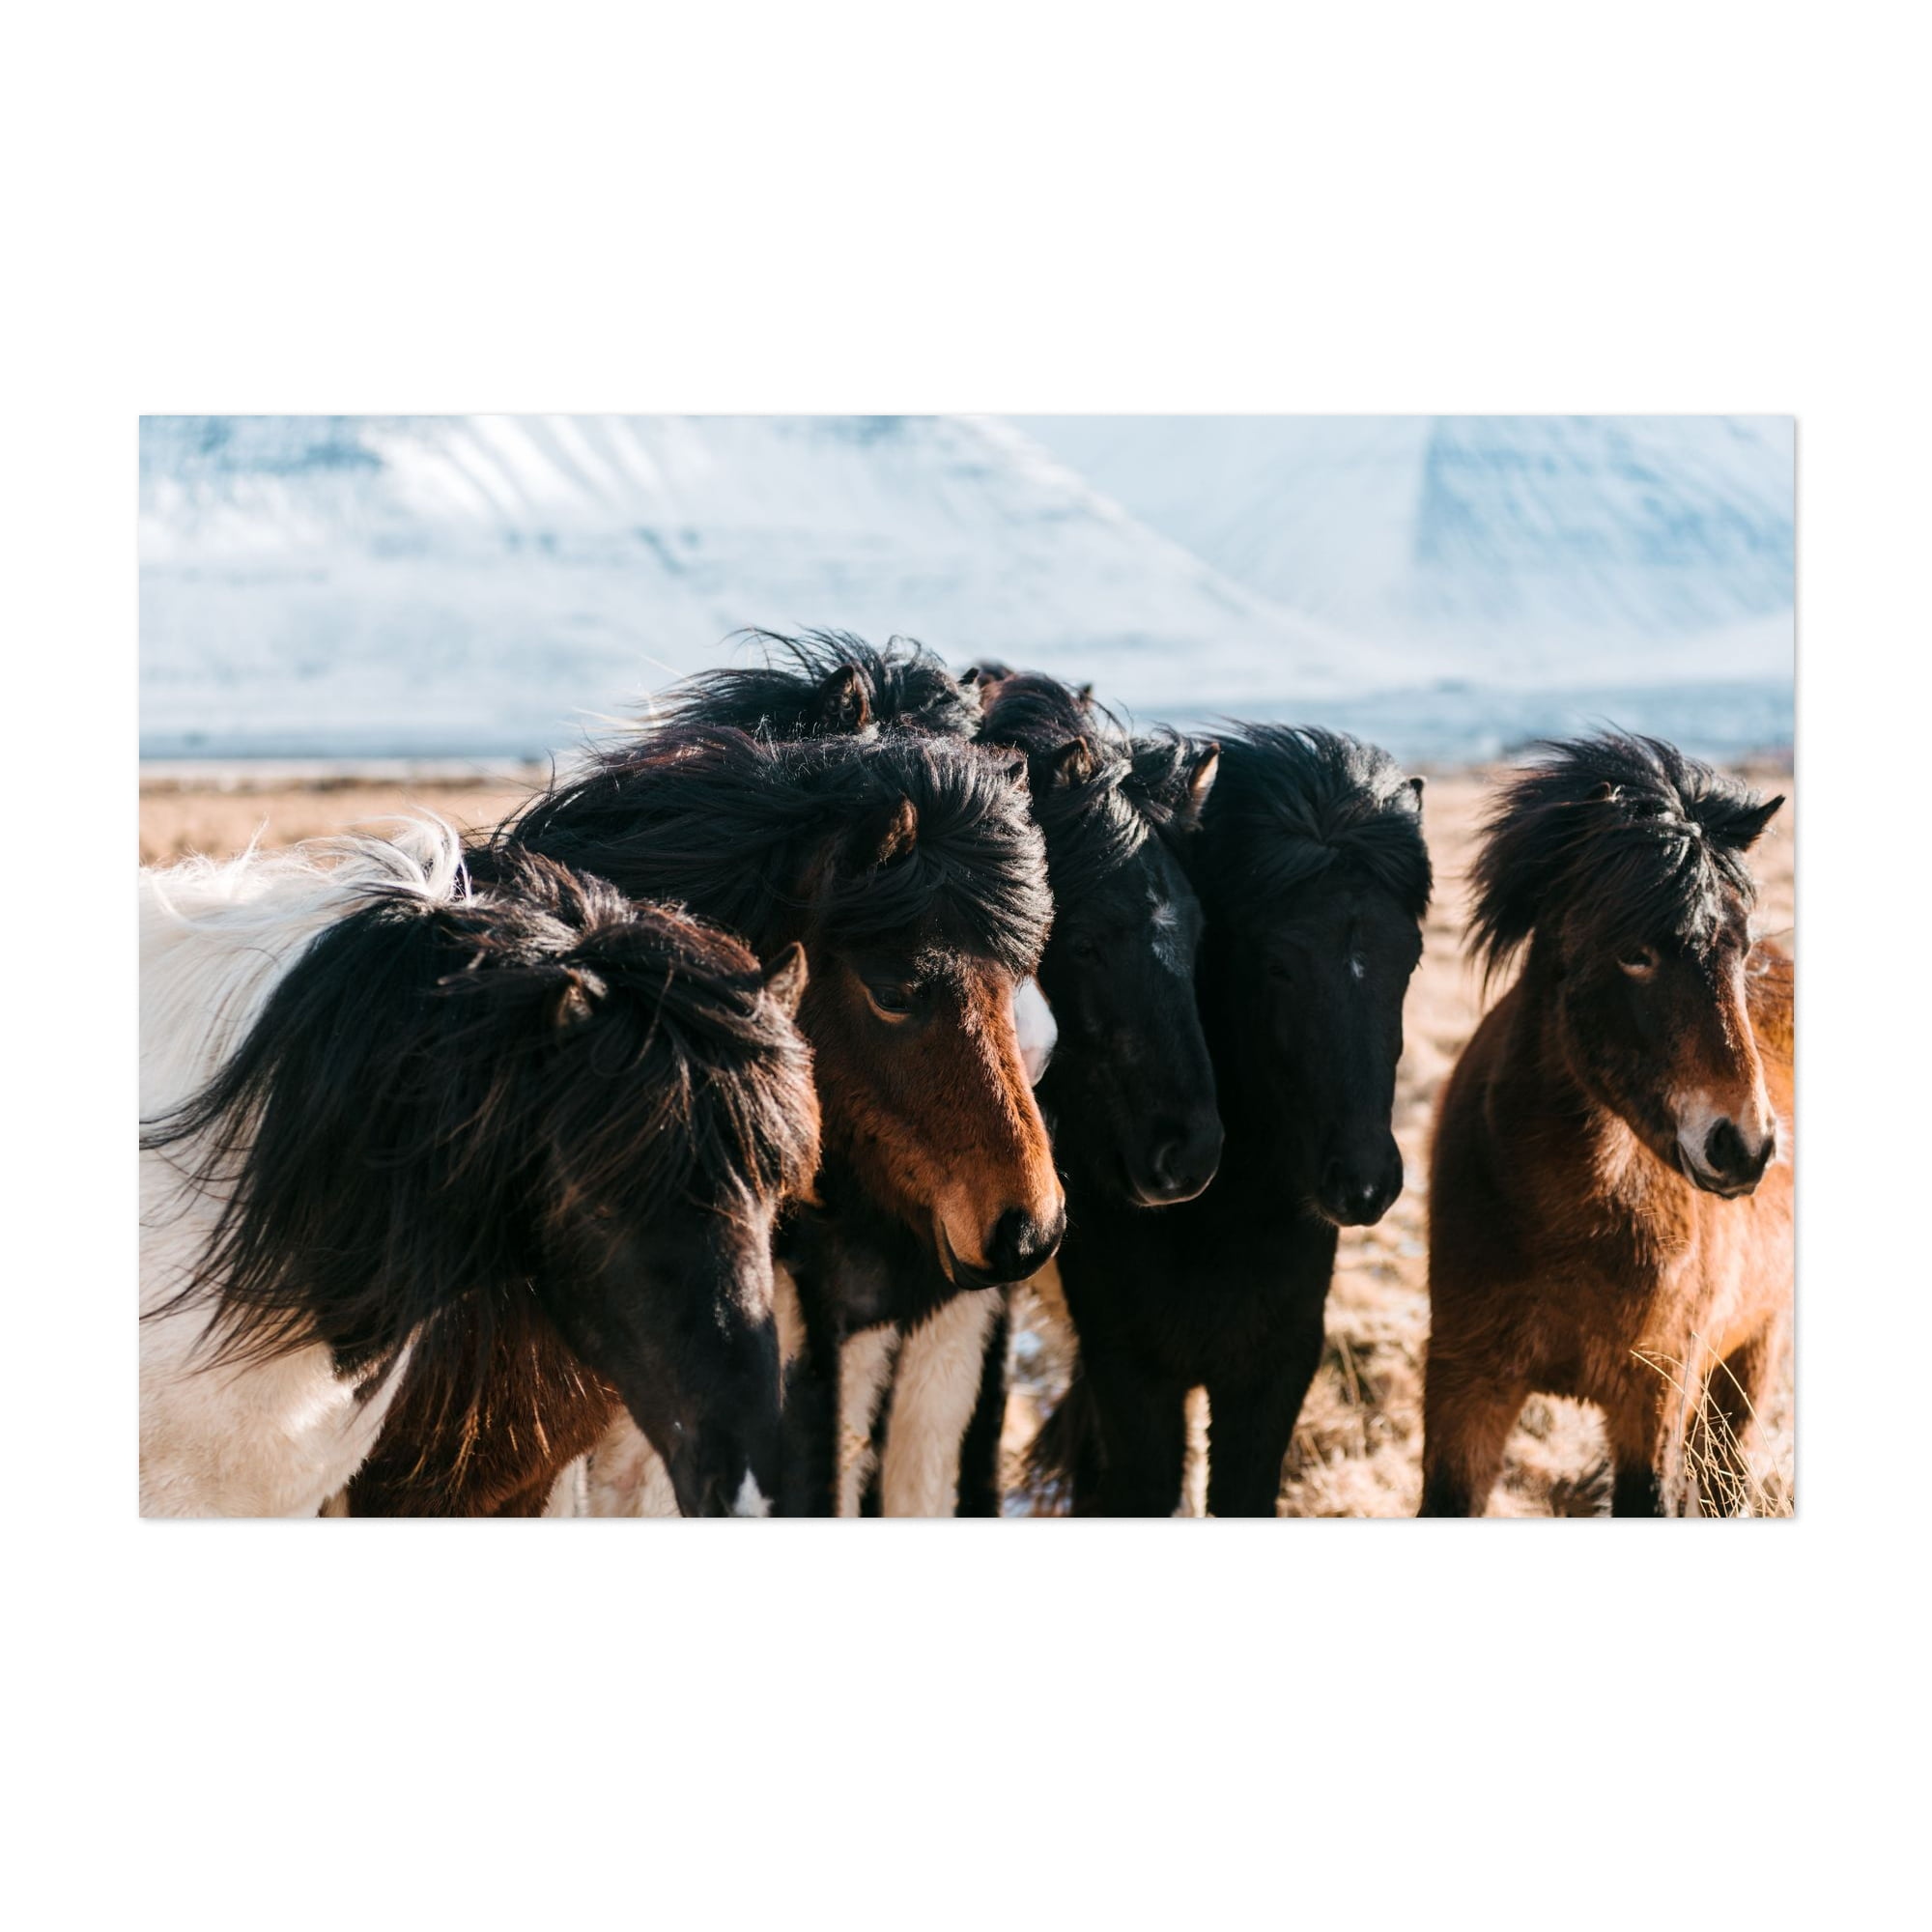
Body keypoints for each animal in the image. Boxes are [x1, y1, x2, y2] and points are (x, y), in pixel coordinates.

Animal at [1027, 725, 1431, 1516]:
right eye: (1277, 965)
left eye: (1409, 959)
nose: (1365, 1181)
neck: (1215, 1220)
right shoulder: (1129, 1371)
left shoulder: (1274, 1368)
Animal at [1420, 733, 1791, 1517]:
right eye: (1634, 953)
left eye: (1739, 950)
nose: (1744, 1147)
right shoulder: (1465, 1389)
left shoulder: (1653, 1402)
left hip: (1750, 1358)